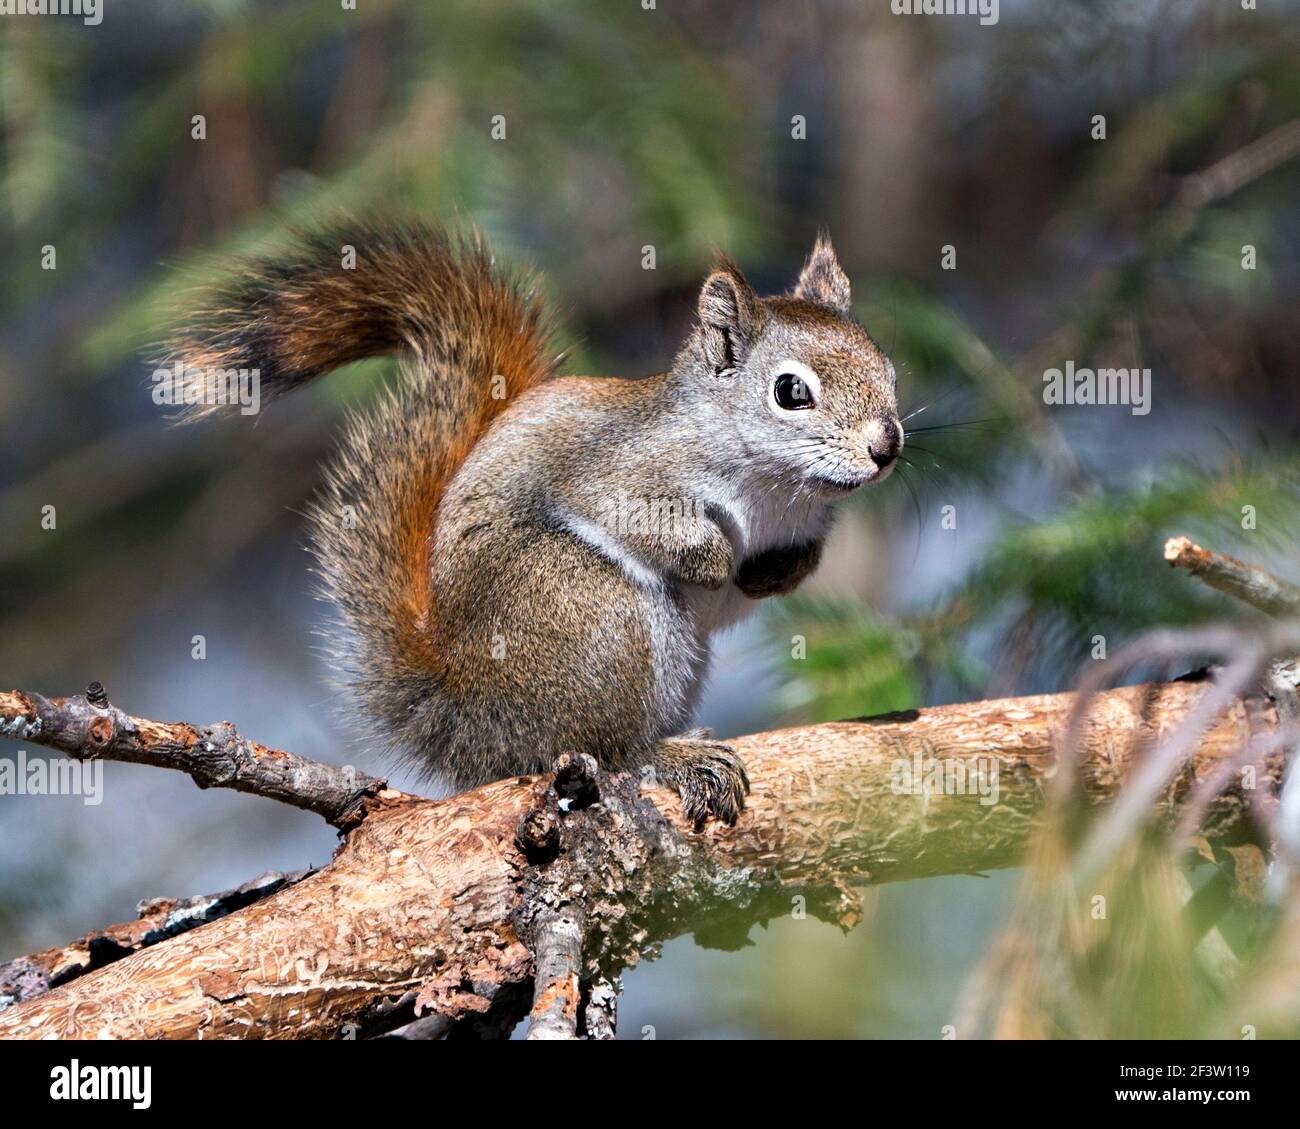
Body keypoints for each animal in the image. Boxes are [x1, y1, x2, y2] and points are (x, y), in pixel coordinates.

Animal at [168, 223, 902, 826]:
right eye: (790, 391)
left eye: (888, 367)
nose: (886, 446)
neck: (773, 490)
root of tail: (460, 711)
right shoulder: (614, 471)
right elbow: (643, 517)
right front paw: (712, 560)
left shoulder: (807, 524)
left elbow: (801, 562)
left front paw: (767, 574)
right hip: (595, 611)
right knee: (598, 749)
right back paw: (670, 756)